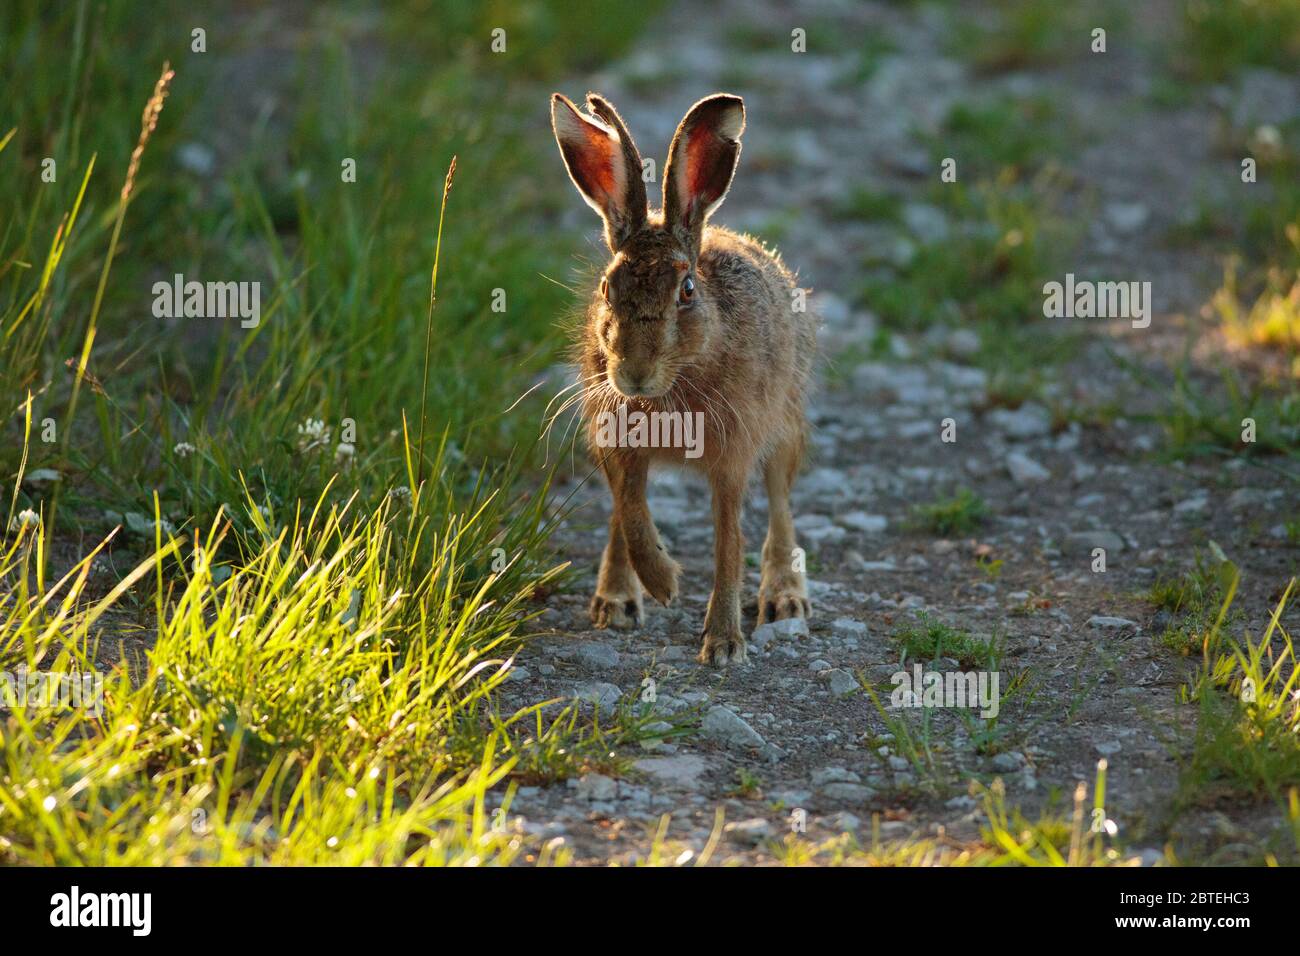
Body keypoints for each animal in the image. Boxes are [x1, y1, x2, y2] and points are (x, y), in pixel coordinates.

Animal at [550, 91, 816, 665]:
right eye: (605, 288)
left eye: (687, 291)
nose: (633, 374)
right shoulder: (617, 438)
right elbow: (629, 511)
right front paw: (661, 583)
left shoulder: (734, 453)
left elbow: (729, 544)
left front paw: (723, 642)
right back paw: (616, 601)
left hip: (786, 427)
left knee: (780, 505)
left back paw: (785, 599)